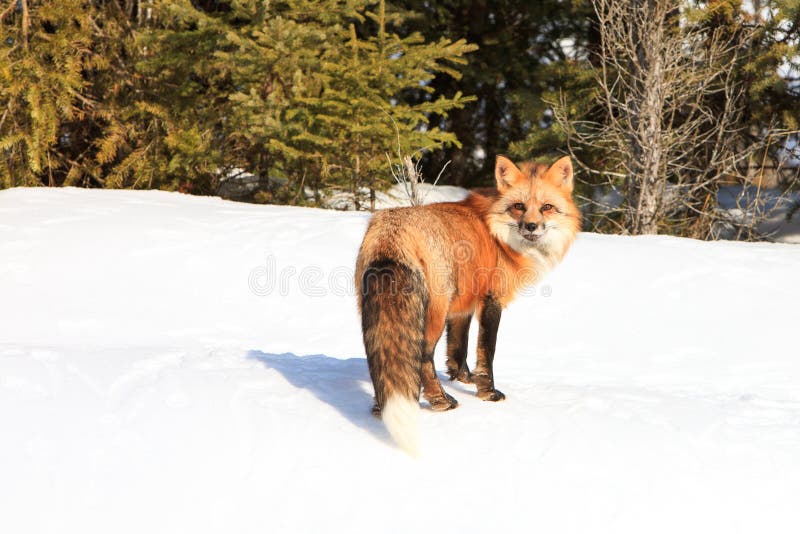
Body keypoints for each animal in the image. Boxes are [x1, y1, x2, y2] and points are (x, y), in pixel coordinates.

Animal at [355, 155, 581, 454]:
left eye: (547, 207)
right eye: (519, 207)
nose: (531, 226)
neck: (497, 235)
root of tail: (390, 232)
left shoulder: (462, 306)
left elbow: (458, 349)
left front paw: (463, 378)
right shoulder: (491, 300)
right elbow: (487, 351)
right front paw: (487, 392)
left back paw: (382, 408)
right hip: (432, 316)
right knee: (422, 357)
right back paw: (441, 401)